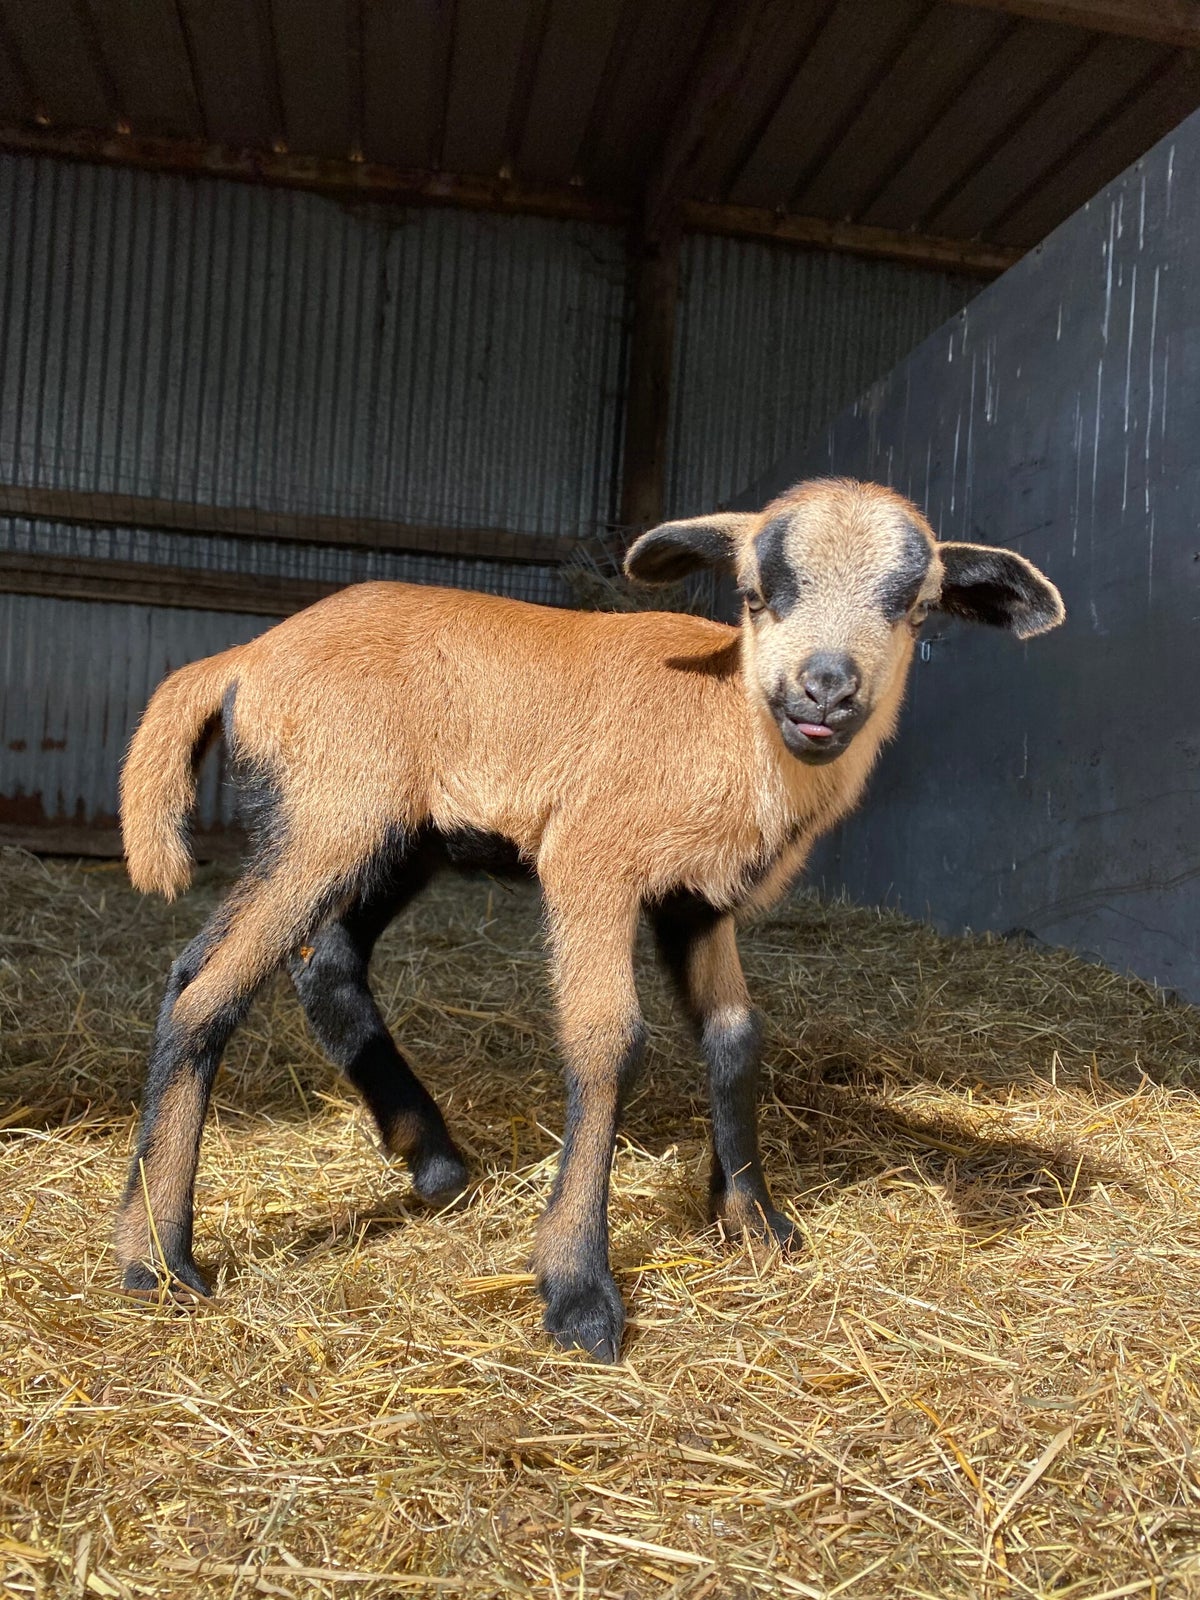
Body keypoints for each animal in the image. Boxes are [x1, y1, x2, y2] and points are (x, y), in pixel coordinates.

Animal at [116, 477, 1064, 1361]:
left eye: (915, 607)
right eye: (757, 593)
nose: (824, 691)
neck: (725, 723)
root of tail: (247, 656)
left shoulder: (697, 902)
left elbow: (735, 1037)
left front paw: (755, 1222)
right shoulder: (589, 859)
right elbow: (609, 1040)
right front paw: (579, 1294)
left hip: (398, 837)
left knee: (320, 964)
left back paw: (436, 1165)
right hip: (327, 813)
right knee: (207, 986)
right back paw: (156, 1259)